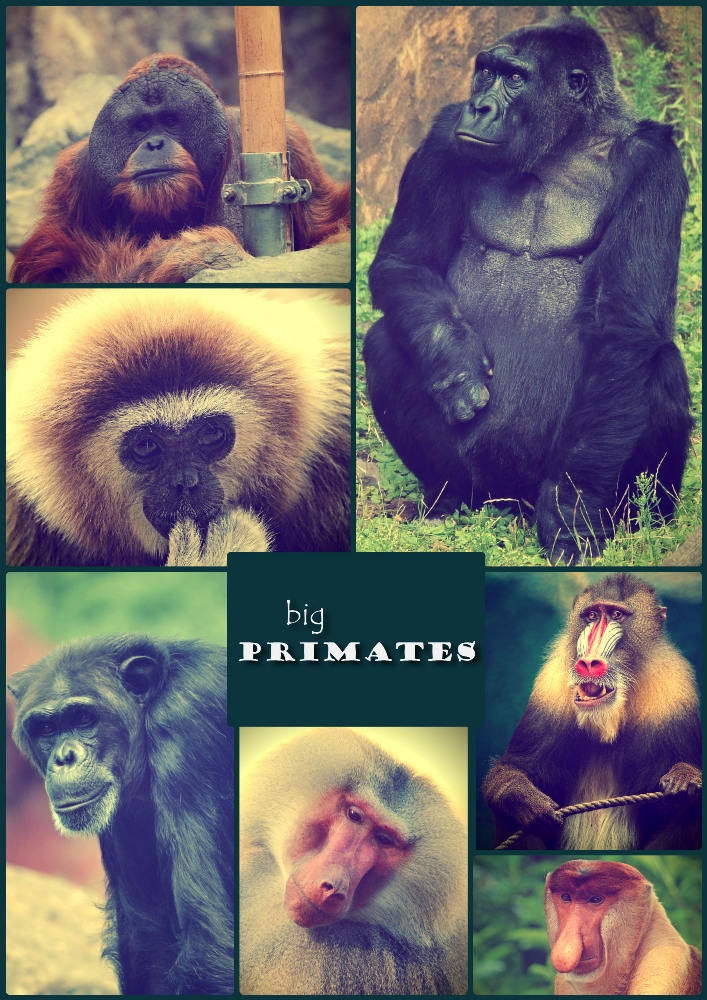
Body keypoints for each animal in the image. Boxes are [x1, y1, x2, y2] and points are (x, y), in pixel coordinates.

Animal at [483, 574, 701, 849]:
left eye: (617, 614)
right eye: (592, 616)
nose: (588, 662)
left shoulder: (673, 691)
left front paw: (684, 779)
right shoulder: (550, 688)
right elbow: (511, 770)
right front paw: (525, 800)